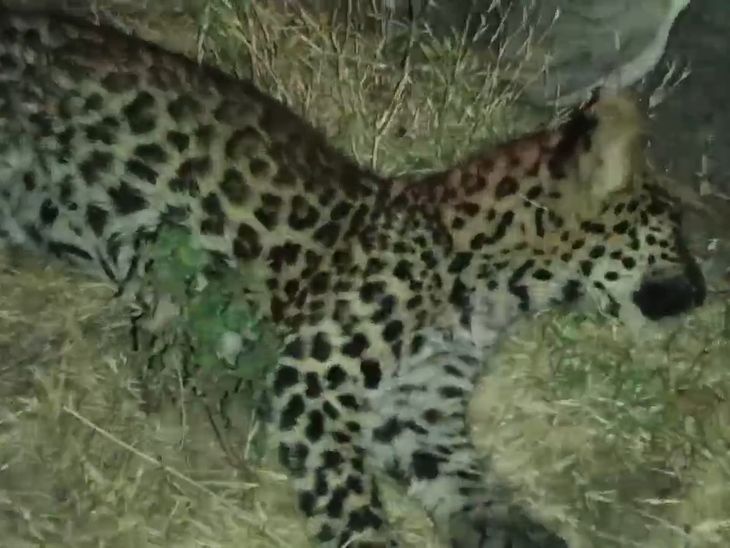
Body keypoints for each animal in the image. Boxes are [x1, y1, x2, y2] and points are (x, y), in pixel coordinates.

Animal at [0, 7, 706, 548]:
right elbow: (348, 502)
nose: (704, 291)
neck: (490, 292)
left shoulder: (419, 415)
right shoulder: (312, 375)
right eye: (673, 227)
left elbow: (476, 492)